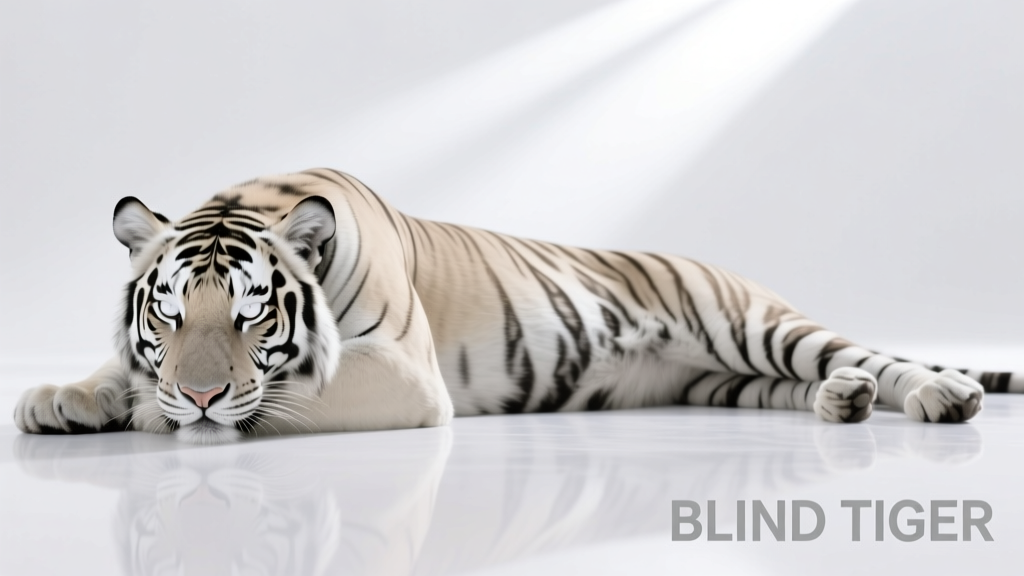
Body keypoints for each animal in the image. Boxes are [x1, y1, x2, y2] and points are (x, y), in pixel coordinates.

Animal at [13, 169, 1021, 444]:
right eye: (169, 314)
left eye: (254, 315)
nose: (198, 395)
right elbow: (115, 368)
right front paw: (64, 397)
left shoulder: (404, 376)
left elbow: (284, 395)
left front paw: (160, 412)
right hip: (722, 382)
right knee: (816, 382)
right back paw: (845, 402)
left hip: (752, 325)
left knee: (868, 353)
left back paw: (938, 394)